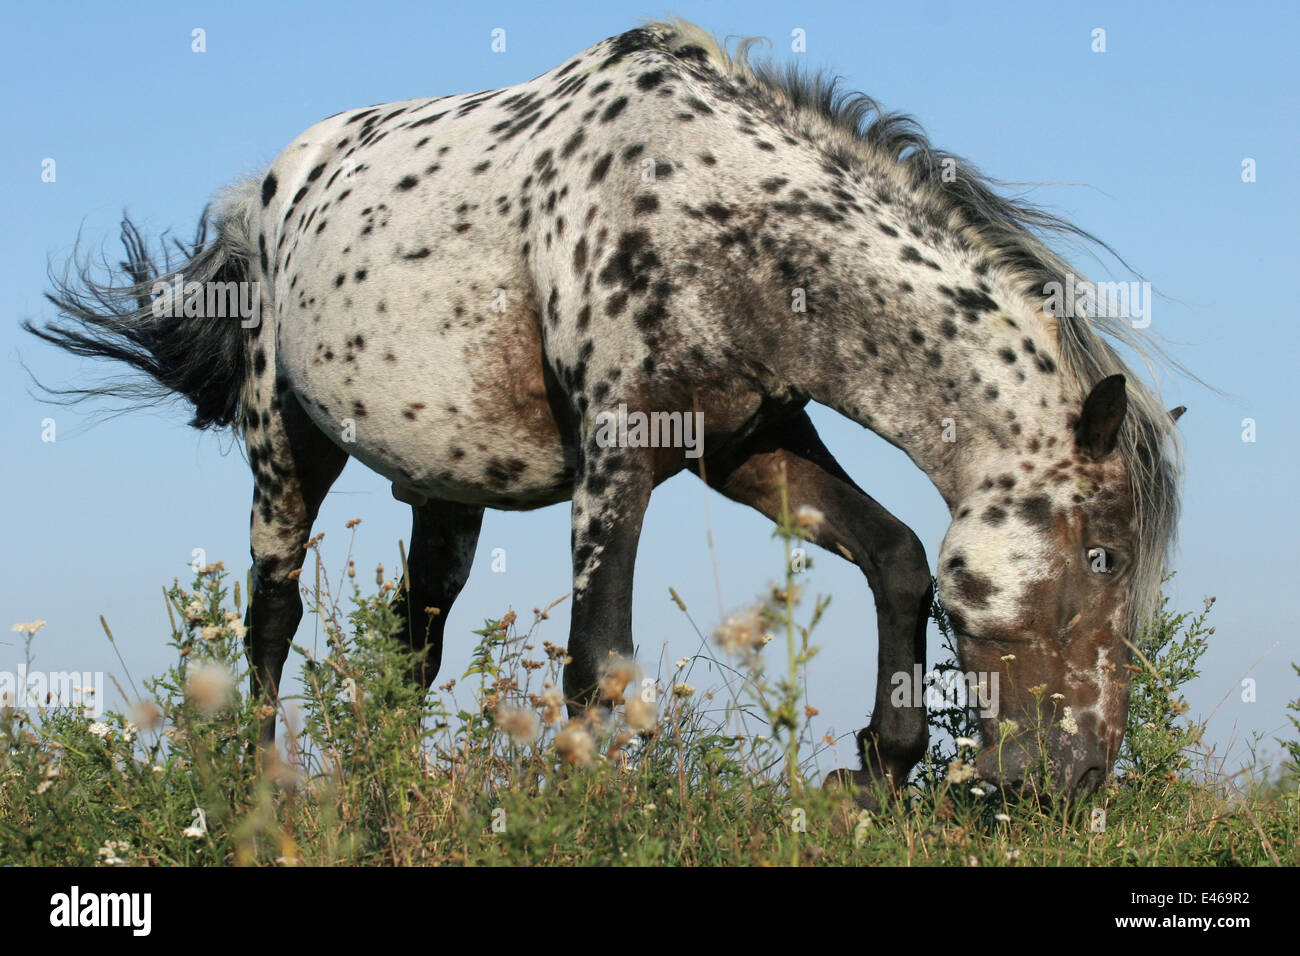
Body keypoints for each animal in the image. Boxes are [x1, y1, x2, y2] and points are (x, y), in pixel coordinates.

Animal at [26, 18, 1184, 803]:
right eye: (1103, 559)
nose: (1077, 779)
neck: (718, 212)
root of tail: (265, 189)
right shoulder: (616, 458)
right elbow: (599, 665)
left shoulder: (749, 446)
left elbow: (899, 556)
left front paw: (874, 771)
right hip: (285, 444)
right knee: (270, 617)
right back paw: (256, 793)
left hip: (444, 489)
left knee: (415, 639)